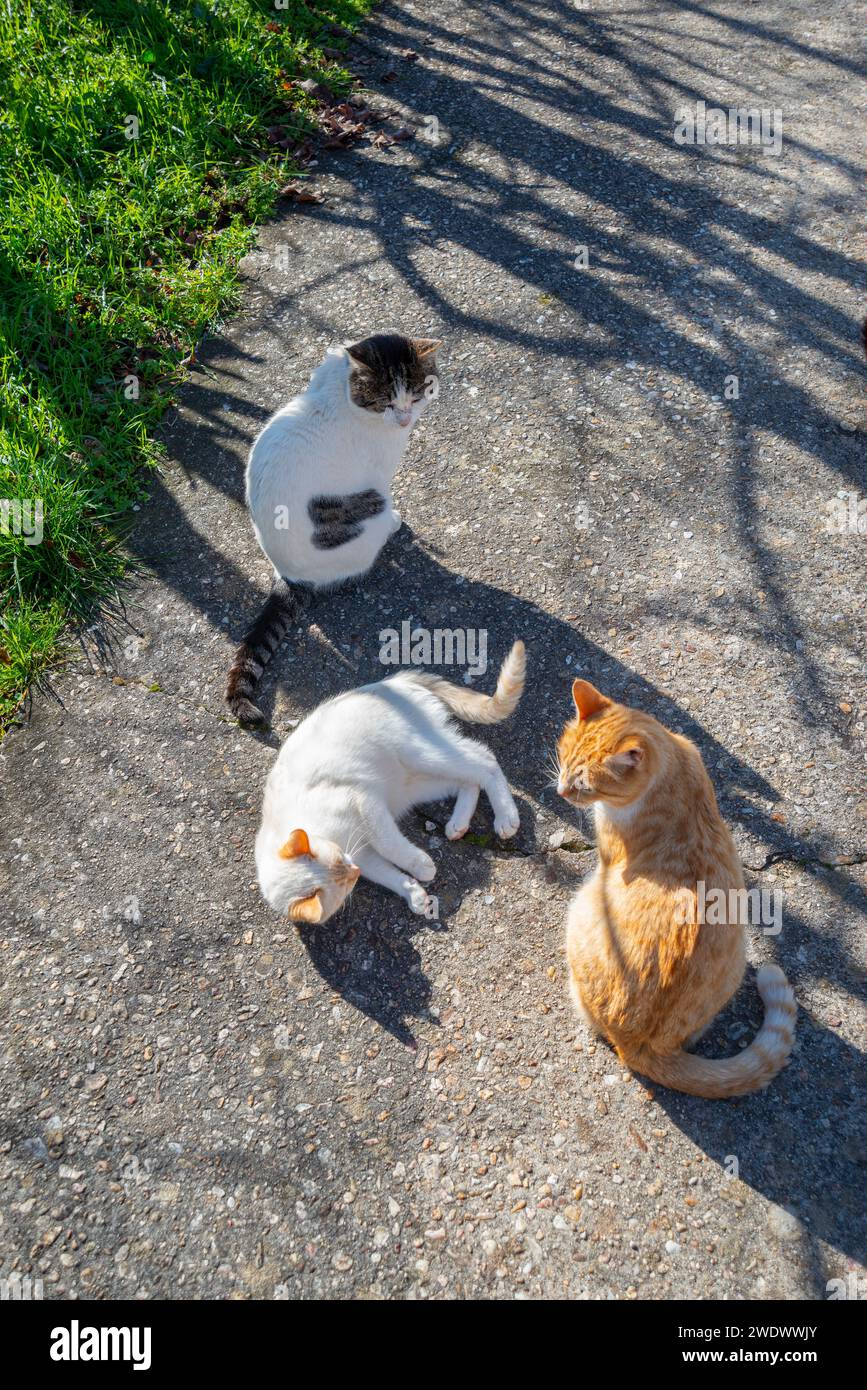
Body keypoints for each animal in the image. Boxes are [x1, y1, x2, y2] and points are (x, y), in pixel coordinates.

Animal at [225, 330, 439, 722]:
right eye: (386, 402)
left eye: (416, 395)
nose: (404, 420)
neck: (342, 387)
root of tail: (289, 576)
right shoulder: (380, 474)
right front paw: (397, 523)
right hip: (369, 510)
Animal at [254, 639, 525, 922]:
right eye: (346, 881)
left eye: (340, 861)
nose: (354, 871)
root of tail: (394, 681)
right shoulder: (363, 854)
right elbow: (386, 873)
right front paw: (413, 893)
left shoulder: (364, 804)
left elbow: (390, 846)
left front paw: (420, 865)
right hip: (419, 783)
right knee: (469, 781)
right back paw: (458, 824)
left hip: (422, 754)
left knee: (485, 761)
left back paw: (505, 817)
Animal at [558, 681, 794, 1095]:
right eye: (563, 758)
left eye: (584, 786)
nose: (560, 792)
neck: (673, 771)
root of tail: (640, 1046)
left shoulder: (605, 852)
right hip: (736, 957)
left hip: (582, 906)